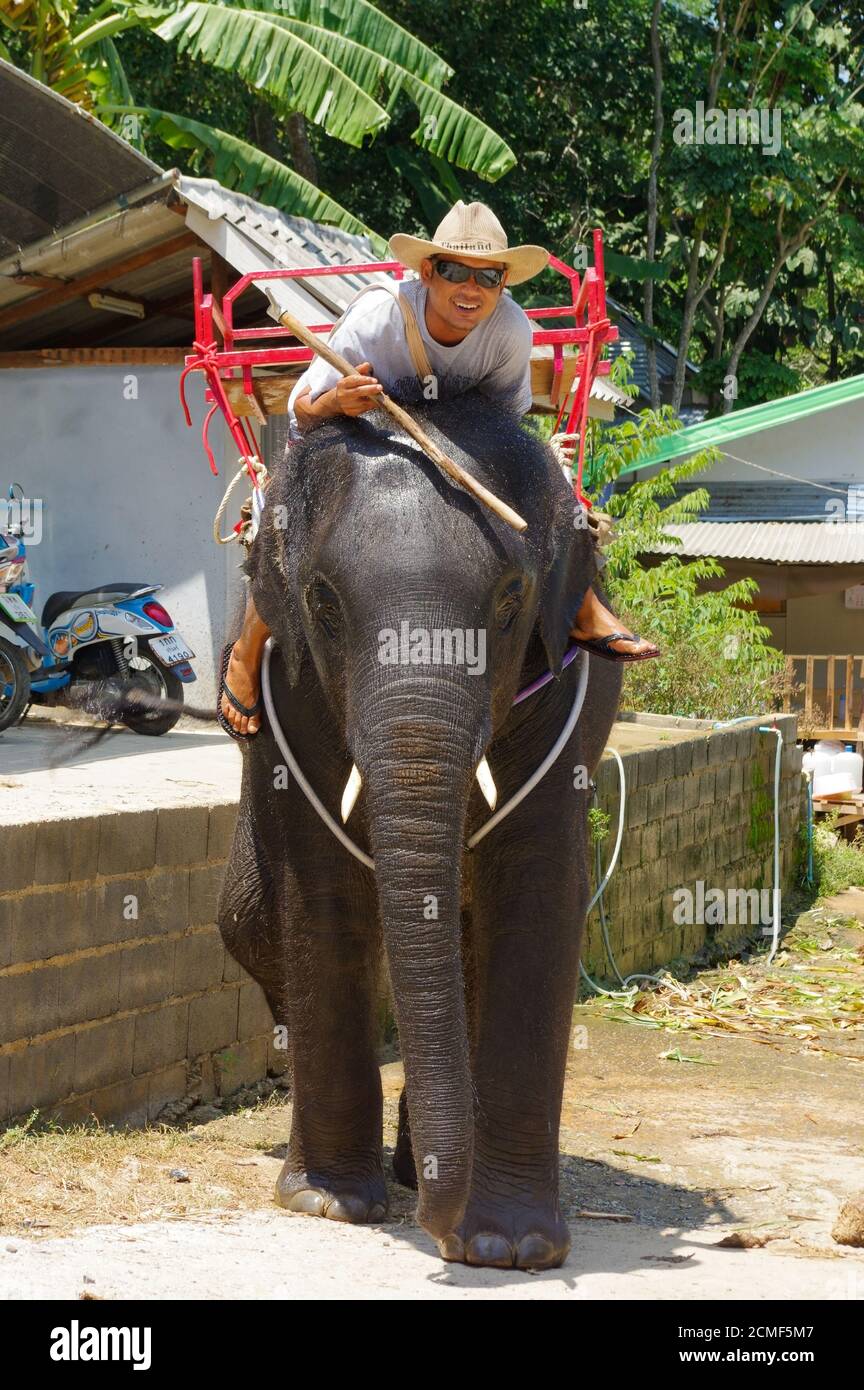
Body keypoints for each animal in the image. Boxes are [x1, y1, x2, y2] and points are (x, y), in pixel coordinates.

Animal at [218, 392, 622, 1270]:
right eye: (324, 601)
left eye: (510, 600)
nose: (437, 1236)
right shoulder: (291, 688)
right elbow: (319, 883)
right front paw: (330, 1205)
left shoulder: (563, 694)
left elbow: (540, 887)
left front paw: (508, 1246)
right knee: (250, 924)